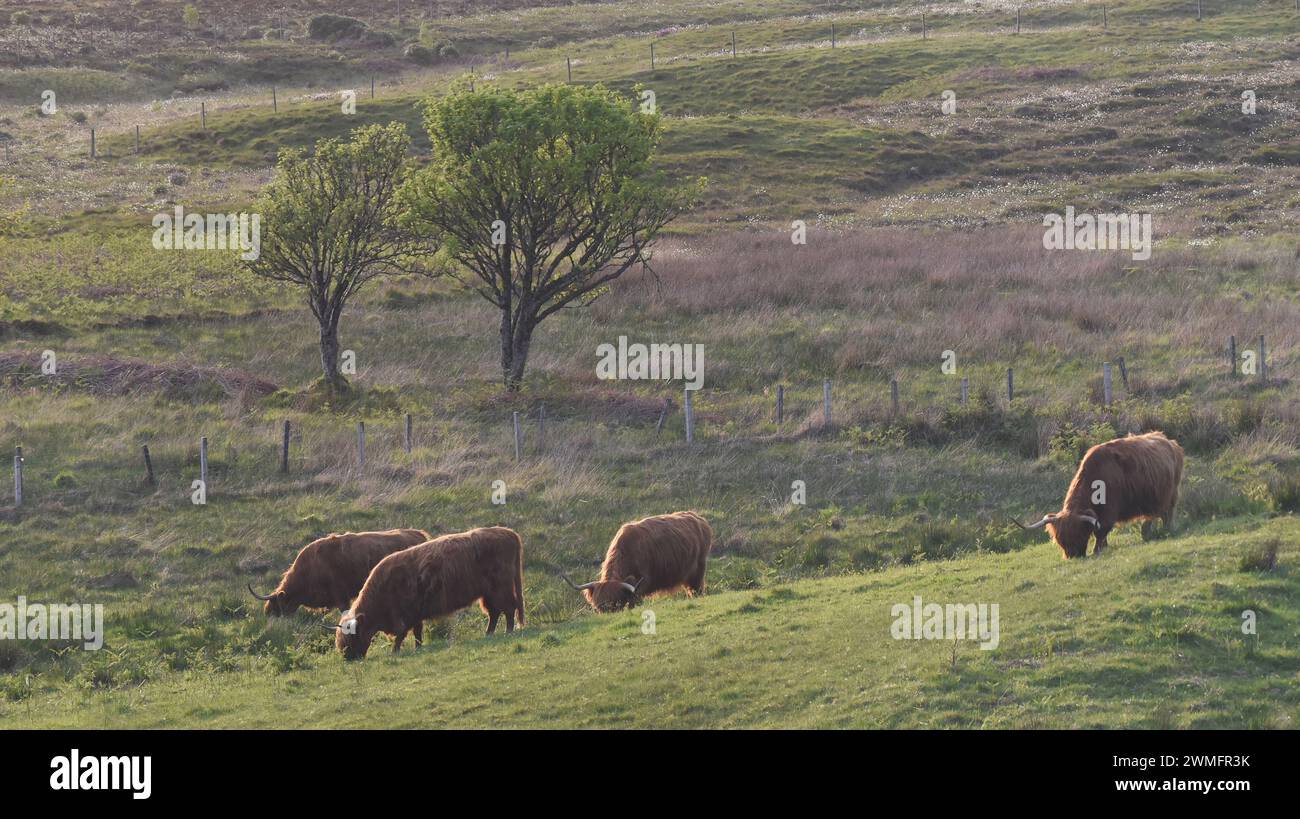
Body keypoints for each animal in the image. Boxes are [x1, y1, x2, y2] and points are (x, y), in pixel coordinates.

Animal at [333, 526, 525, 660]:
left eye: (352, 637)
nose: (348, 658)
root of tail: (508, 533)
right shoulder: (415, 615)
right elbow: (417, 632)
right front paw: (417, 647)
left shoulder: (404, 616)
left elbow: (402, 635)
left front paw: (395, 651)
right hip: (488, 593)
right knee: (494, 612)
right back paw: (489, 633)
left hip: (501, 587)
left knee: (509, 608)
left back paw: (508, 631)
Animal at [562, 511, 712, 612]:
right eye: (598, 608)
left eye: (615, 605)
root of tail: (698, 518)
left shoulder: (640, 586)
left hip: (698, 570)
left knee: (697, 590)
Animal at [1017, 431, 1184, 558]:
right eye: (1060, 539)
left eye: (1078, 534)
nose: (1073, 556)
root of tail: (1168, 440)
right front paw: (1104, 547)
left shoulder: (1109, 511)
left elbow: (1101, 531)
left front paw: (1097, 550)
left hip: (1172, 494)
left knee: (1168, 513)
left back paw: (1166, 531)